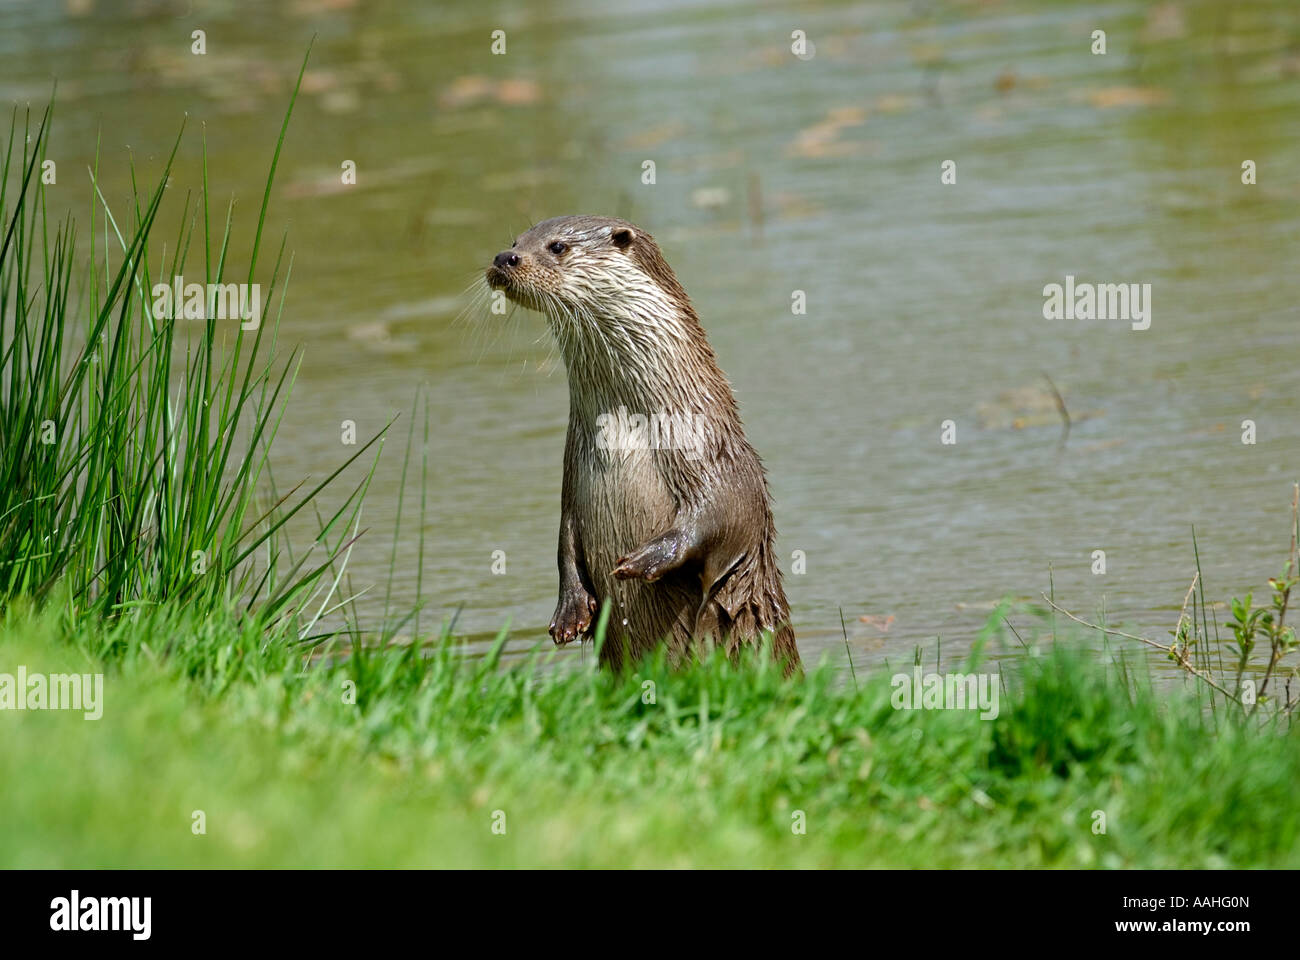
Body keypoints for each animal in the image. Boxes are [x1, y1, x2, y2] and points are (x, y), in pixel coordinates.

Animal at [486, 215, 799, 672]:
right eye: (514, 240)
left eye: (557, 246)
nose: (503, 258)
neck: (624, 431)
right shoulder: (571, 478)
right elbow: (565, 541)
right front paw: (569, 612)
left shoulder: (718, 460)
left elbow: (726, 517)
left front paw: (646, 559)